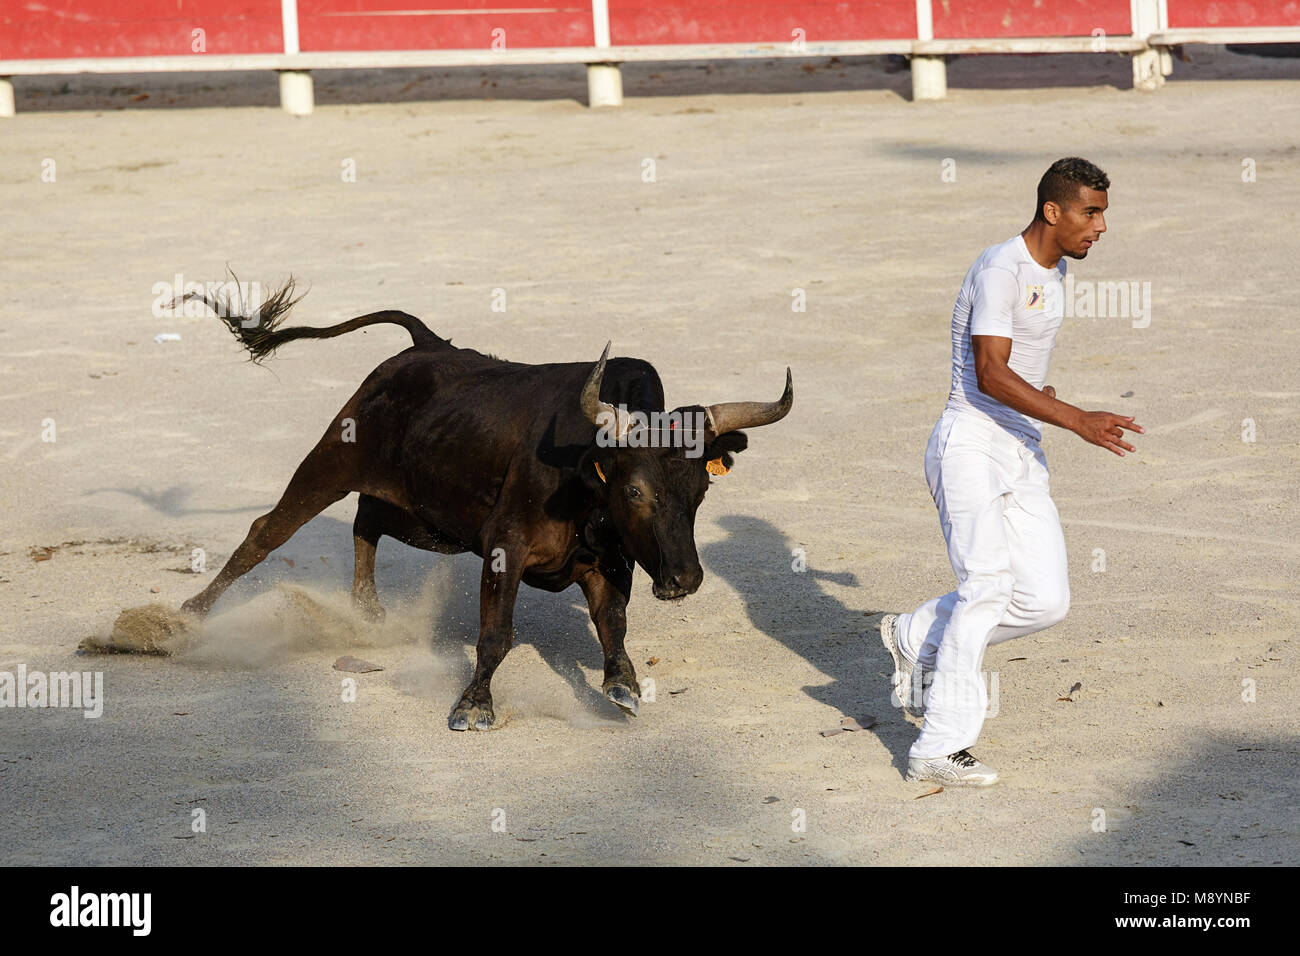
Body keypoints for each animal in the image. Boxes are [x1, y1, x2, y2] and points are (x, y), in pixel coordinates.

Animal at [179, 282, 793, 730]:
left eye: (701, 490)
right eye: (635, 491)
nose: (684, 580)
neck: (583, 473)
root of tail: (426, 345)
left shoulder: (610, 560)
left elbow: (612, 624)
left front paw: (623, 685)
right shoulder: (504, 547)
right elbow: (496, 633)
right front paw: (473, 706)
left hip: (430, 521)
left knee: (367, 521)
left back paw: (368, 614)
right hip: (332, 460)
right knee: (267, 532)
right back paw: (189, 617)